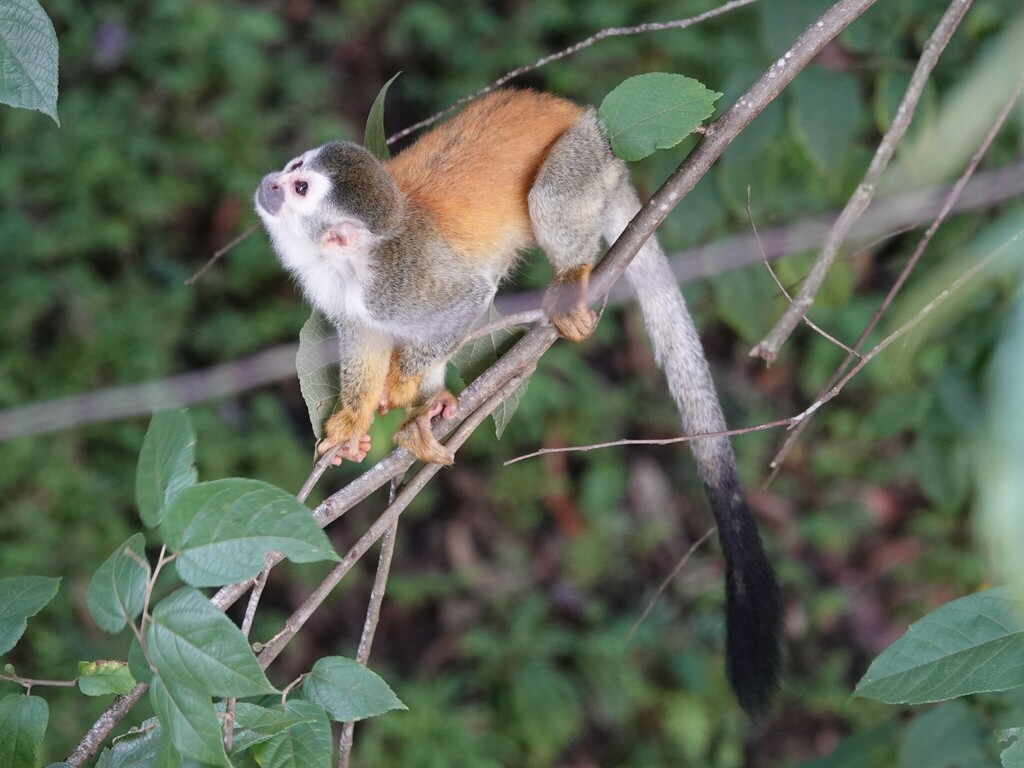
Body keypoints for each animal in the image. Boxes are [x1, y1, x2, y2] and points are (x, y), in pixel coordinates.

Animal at [254, 88, 782, 714]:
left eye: (301, 188)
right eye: (293, 169)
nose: (270, 182)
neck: (348, 260)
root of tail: (580, 115)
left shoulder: (394, 281)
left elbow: (464, 302)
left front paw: (404, 388)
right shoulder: (348, 295)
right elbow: (364, 338)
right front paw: (358, 420)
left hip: (586, 155)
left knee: (549, 199)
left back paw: (570, 276)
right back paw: (430, 414)